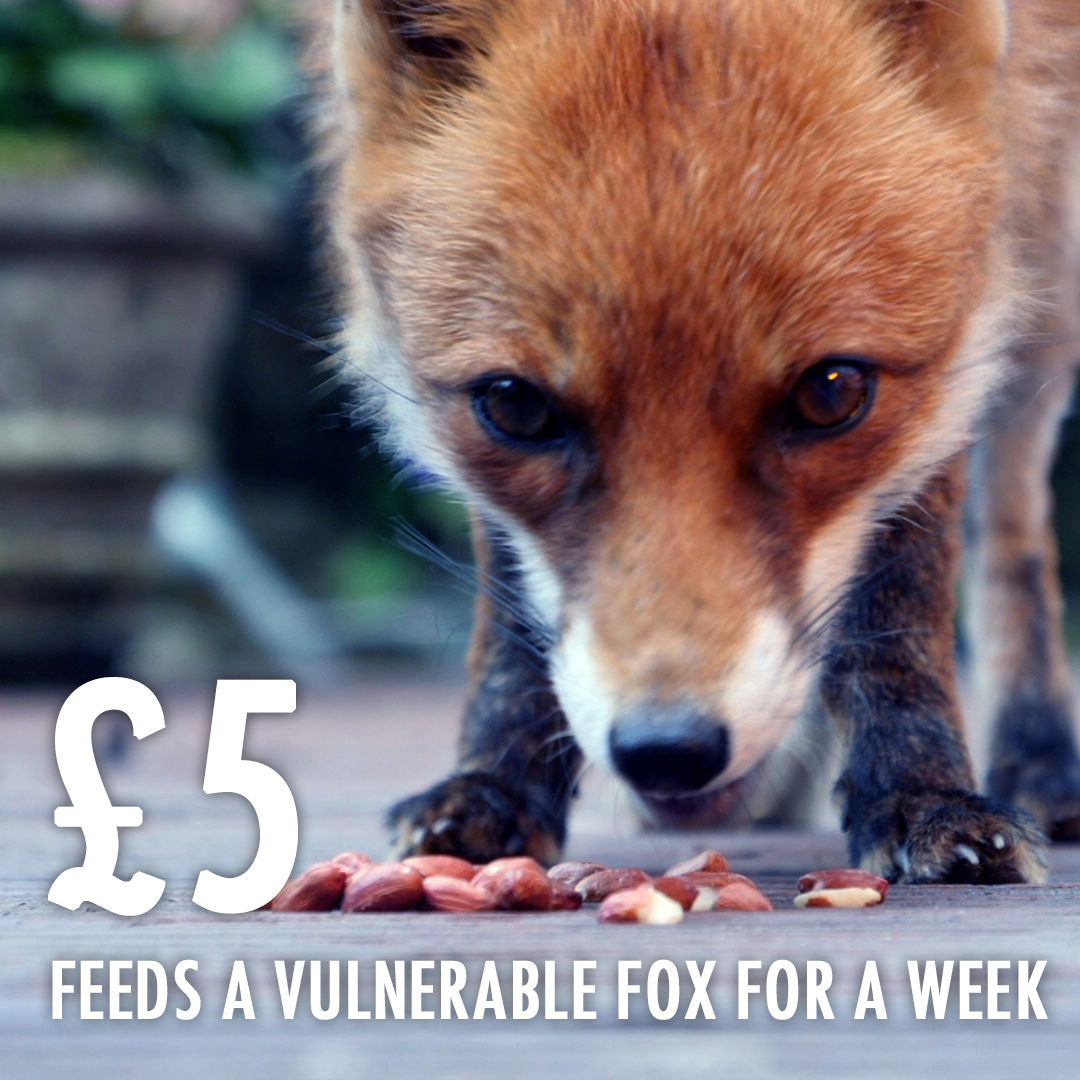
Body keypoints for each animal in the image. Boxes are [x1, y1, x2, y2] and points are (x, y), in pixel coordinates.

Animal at [310, 0, 1080, 884]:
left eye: (832, 393)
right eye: (515, 407)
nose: (667, 751)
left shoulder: (960, 334)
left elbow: (901, 593)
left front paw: (921, 794)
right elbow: (509, 603)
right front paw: (496, 782)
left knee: (1015, 533)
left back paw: (1040, 759)